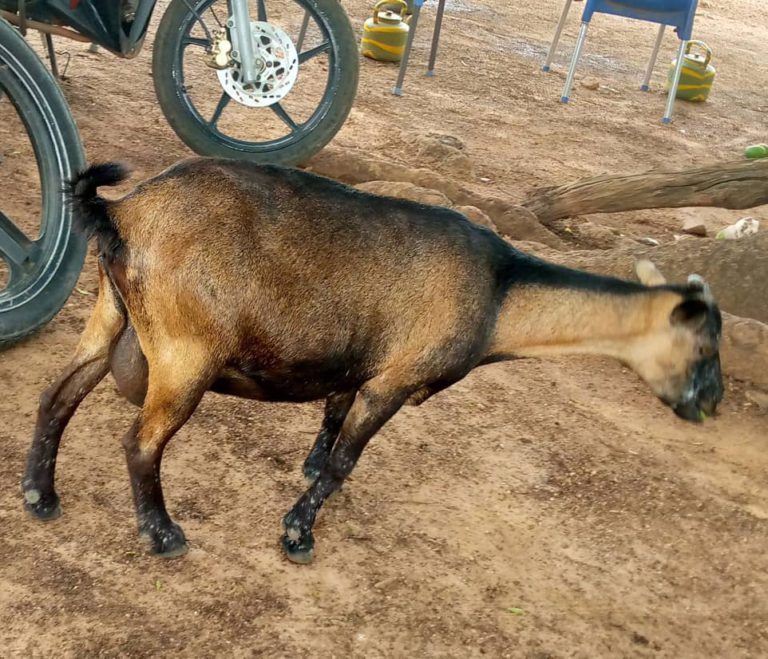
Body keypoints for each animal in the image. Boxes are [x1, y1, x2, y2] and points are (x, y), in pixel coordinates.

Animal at [23, 158, 723, 563]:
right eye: (706, 347)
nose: (712, 403)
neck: (500, 293)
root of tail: (123, 211)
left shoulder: (356, 367)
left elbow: (331, 424)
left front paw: (305, 474)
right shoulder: (393, 381)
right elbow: (345, 463)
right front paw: (297, 535)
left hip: (111, 315)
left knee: (57, 395)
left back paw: (39, 496)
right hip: (184, 351)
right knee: (141, 441)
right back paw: (163, 536)